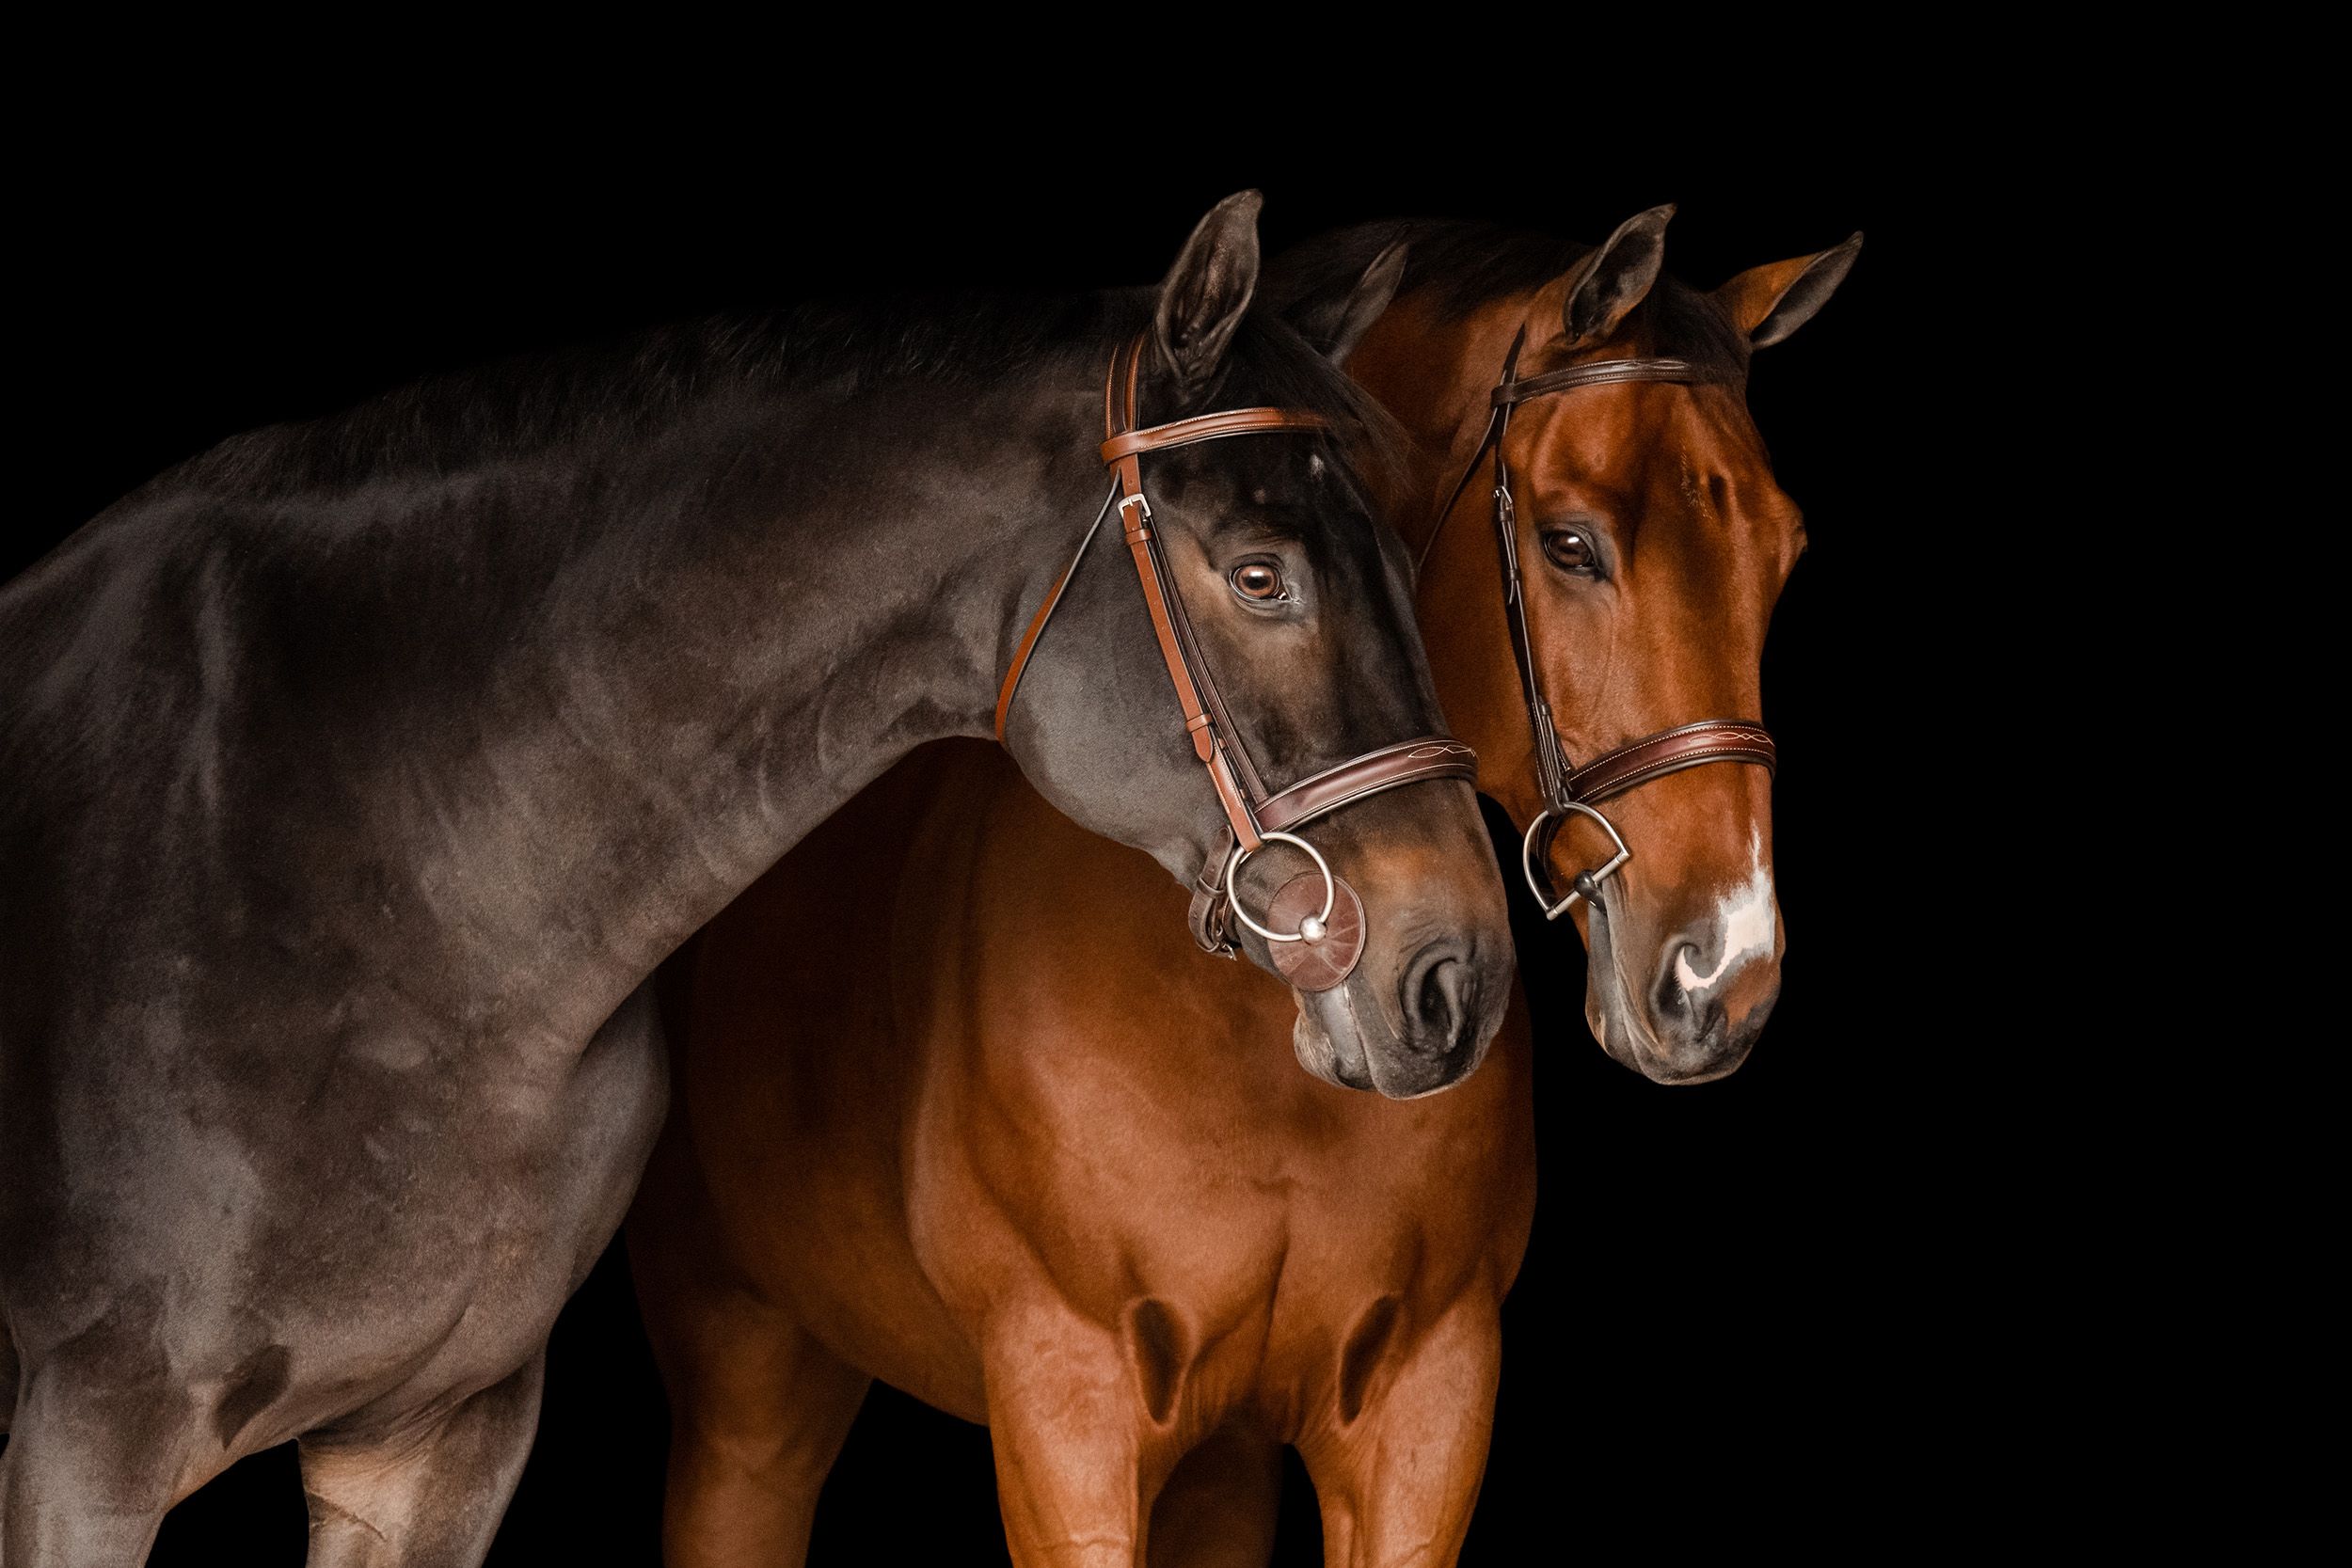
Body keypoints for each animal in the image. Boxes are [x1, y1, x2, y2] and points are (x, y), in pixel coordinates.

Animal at [628, 206, 1858, 1565]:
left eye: (1781, 553)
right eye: (1570, 541)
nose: (1722, 971)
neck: (1255, 1053)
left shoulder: (1427, 1398)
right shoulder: (1066, 1405)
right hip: (748, 1382)